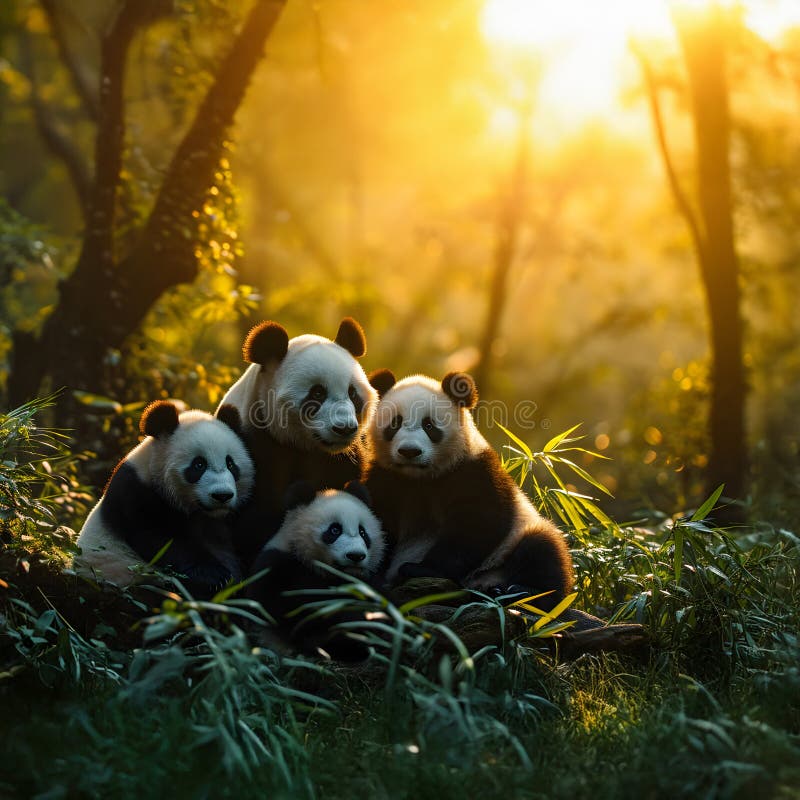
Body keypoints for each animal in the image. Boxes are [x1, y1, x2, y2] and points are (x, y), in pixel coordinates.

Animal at [74, 401, 255, 599]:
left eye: (230, 464)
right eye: (199, 464)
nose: (222, 495)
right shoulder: (135, 492)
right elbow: (160, 539)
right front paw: (217, 577)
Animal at [217, 317, 377, 566]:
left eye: (353, 394)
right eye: (318, 393)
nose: (344, 429)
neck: (303, 445)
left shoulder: (343, 459)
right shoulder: (255, 445)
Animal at [246, 480, 386, 661]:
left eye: (363, 532)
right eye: (335, 530)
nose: (356, 555)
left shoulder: (366, 582)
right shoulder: (279, 565)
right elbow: (286, 610)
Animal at [364, 370, 574, 611]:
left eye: (429, 426)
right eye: (395, 424)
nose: (409, 451)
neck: (419, 478)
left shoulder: (473, 470)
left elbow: (478, 523)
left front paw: (423, 568)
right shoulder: (386, 478)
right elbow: (377, 522)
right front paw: (373, 574)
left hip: (514, 539)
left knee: (543, 552)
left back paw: (520, 592)